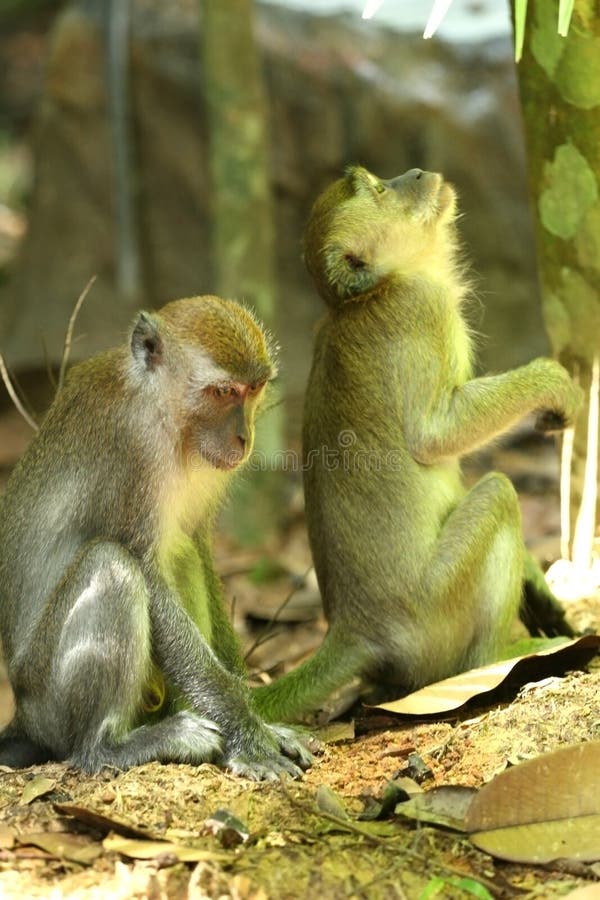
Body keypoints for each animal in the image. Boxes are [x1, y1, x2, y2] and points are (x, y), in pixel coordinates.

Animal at [0, 295, 312, 779]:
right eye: (222, 392)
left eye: (253, 389)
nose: (243, 438)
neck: (168, 415)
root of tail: (23, 714)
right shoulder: (132, 448)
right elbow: (145, 569)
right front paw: (249, 734)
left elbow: (196, 545)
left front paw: (259, 722)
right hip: (49, 700)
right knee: (112, 564)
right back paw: (109, 747)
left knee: (180, 553)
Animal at [251, 166, 582, 723]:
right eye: (380, 190)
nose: (416, 173)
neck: (370, 293)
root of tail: (356, 629)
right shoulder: (421, 307)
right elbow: (436, 434)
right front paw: (550, 382)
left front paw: (536, 582)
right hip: (435, 611)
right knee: (497, 493)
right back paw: (501, 659)